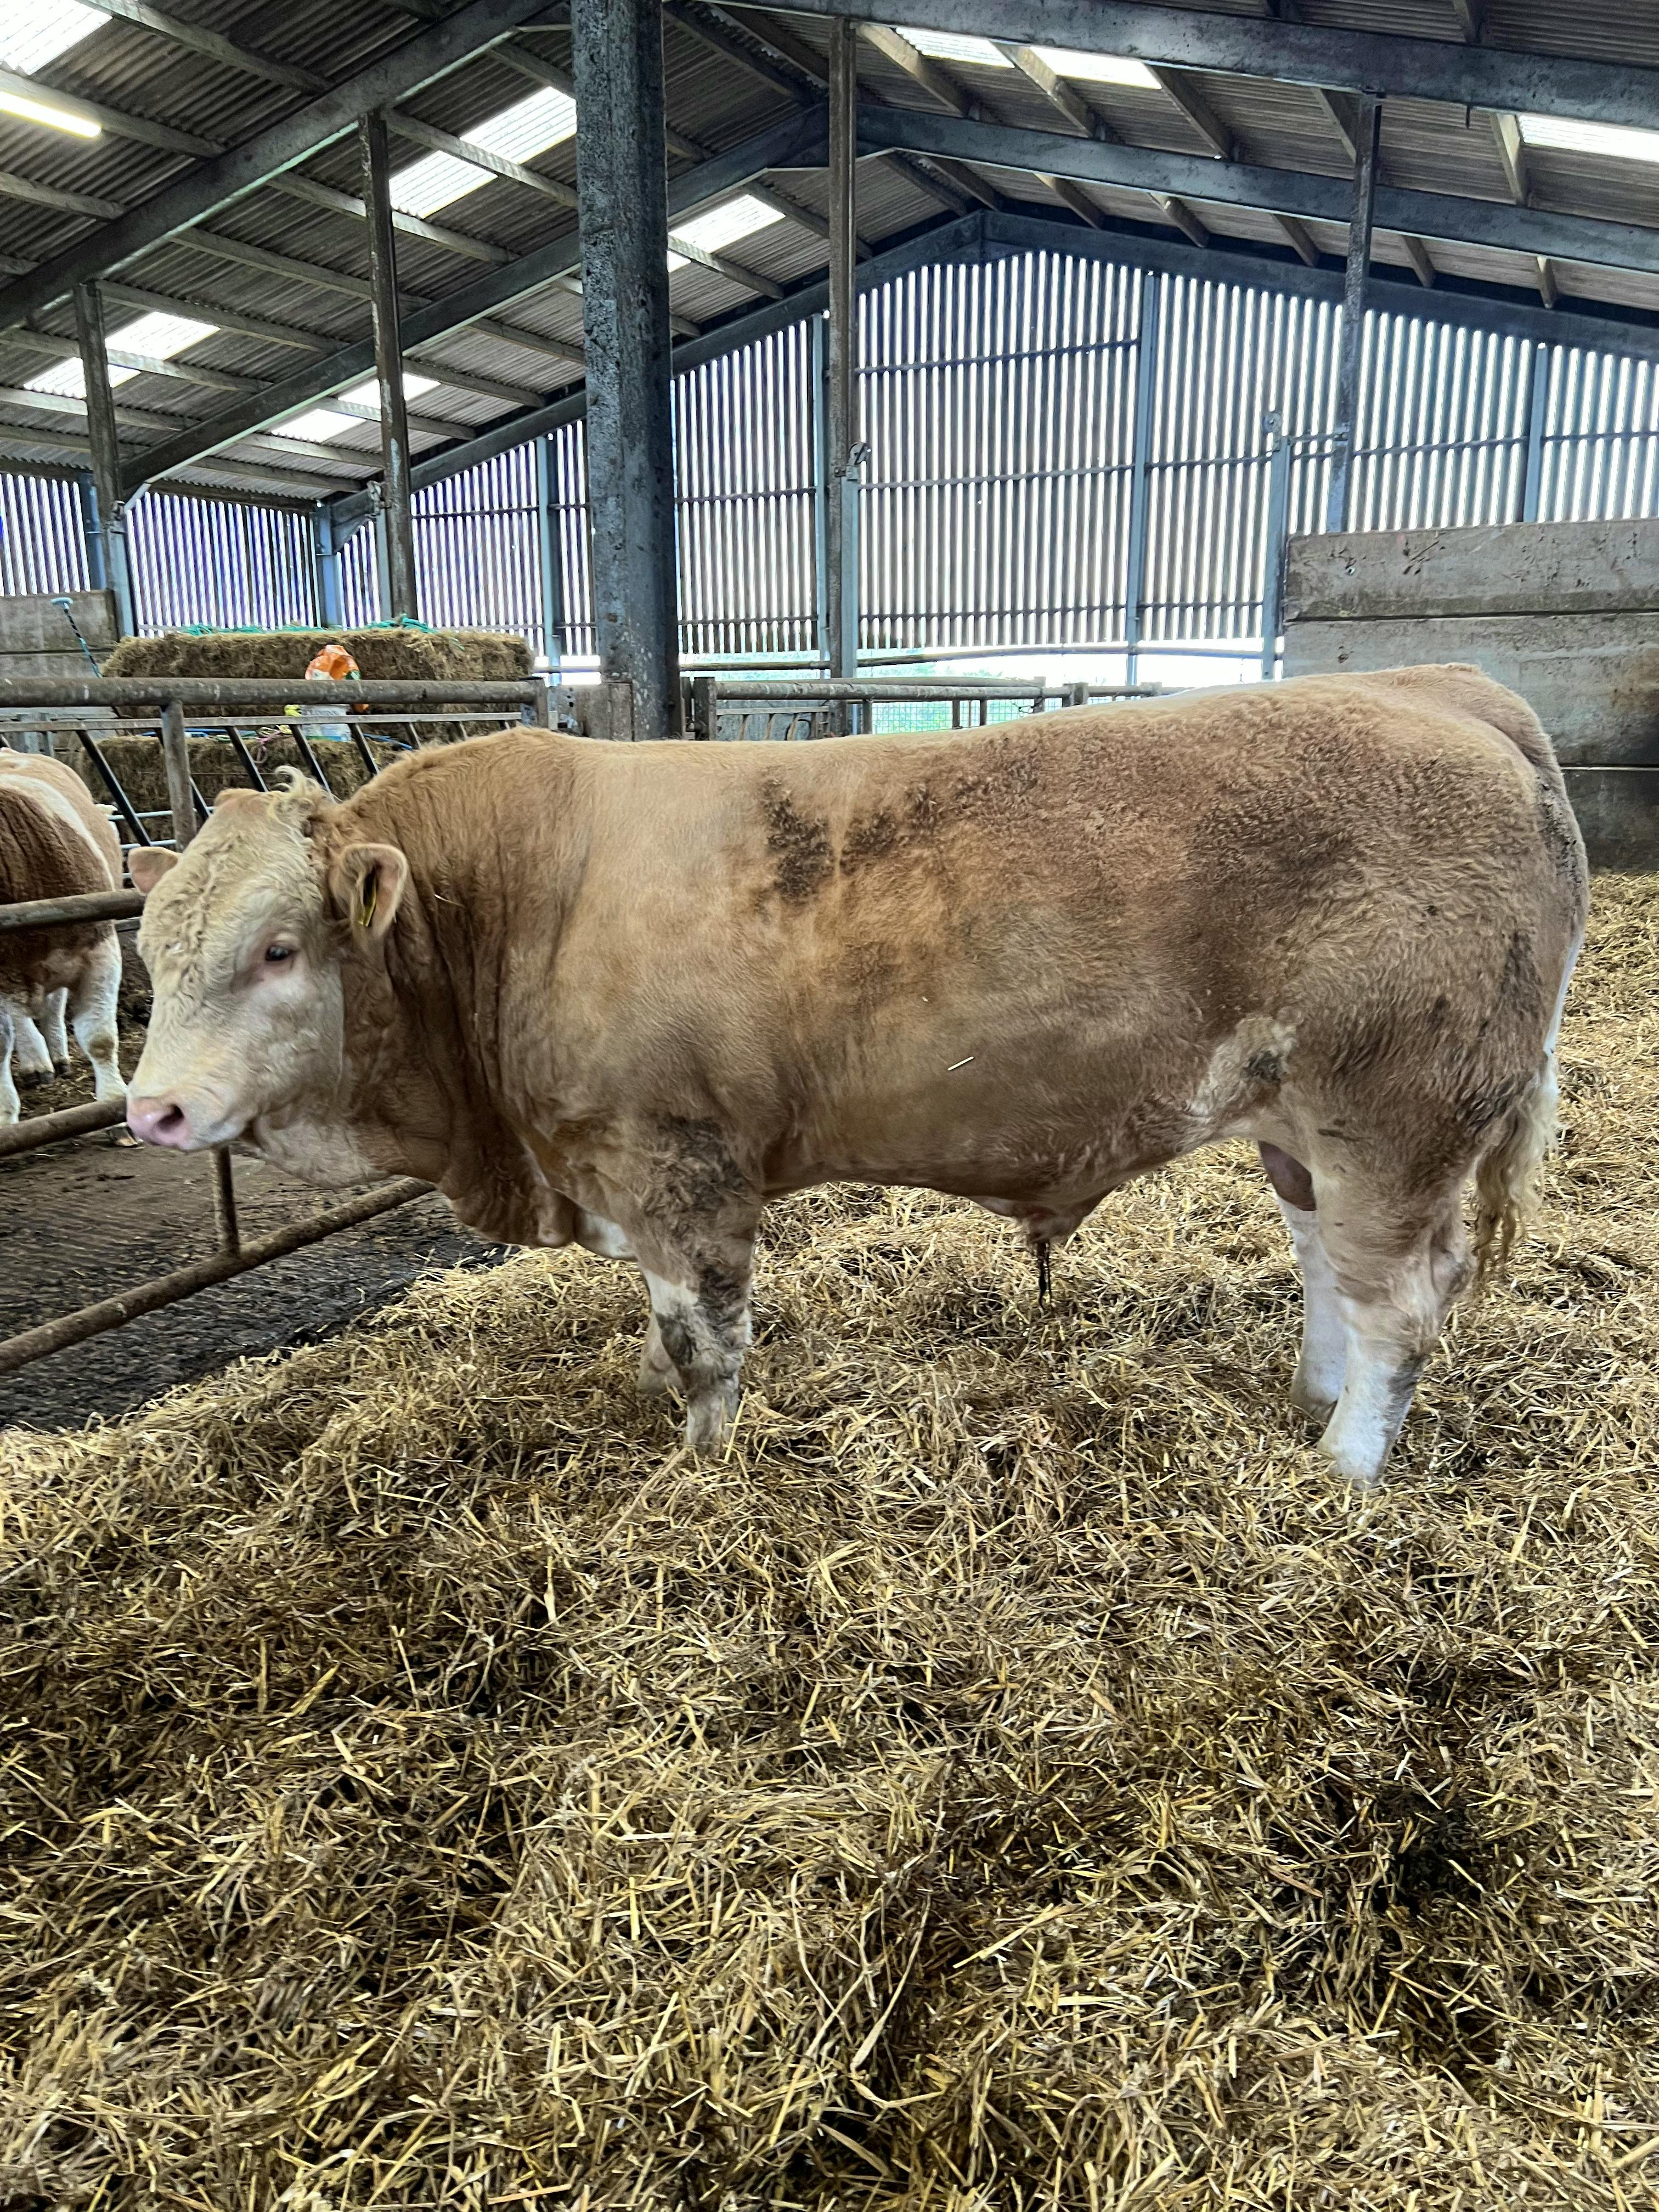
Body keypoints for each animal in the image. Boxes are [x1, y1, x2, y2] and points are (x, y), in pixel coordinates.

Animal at [0, 748, 125, 1124]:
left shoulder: (100, 953)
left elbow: (100, 1038)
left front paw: (116, 1106)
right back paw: (37, 1064)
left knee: (54, 1006)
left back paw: (56, 1057)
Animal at [124, 665, 1587, 1489]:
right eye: (146, 948)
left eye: (277, 946)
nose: (152, 1108)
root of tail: (1451, 693)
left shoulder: (679, 1162)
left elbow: (705, 1339)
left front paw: (699, 1473)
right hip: (1304, 1121)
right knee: (1329, 1267)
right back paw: (1313, 1404)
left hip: (1398, 1117)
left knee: (1403, 1302)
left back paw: (1344, 1474)